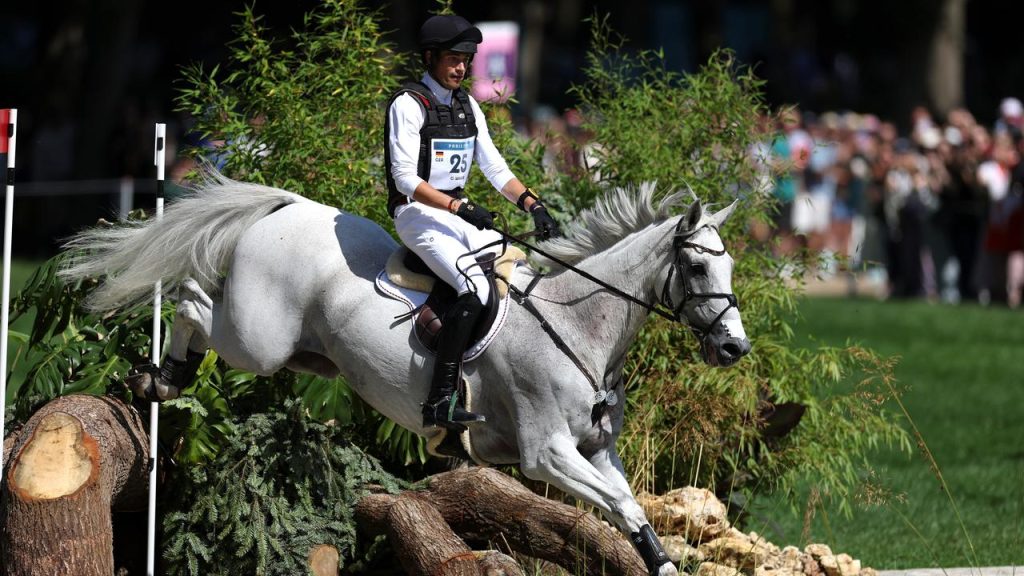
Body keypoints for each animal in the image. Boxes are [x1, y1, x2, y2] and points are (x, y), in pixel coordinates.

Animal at [61, 171, 753, 573]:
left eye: (730, 268)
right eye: (697, 268)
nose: (734, 348)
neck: (579, 325)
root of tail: (287, 208)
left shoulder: (596, 451)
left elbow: (630, 508)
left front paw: (662, 564)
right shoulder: (547, 454)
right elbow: (618, 503)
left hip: (294, 351)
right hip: (258, 341)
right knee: (191, 300)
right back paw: (161, 378)